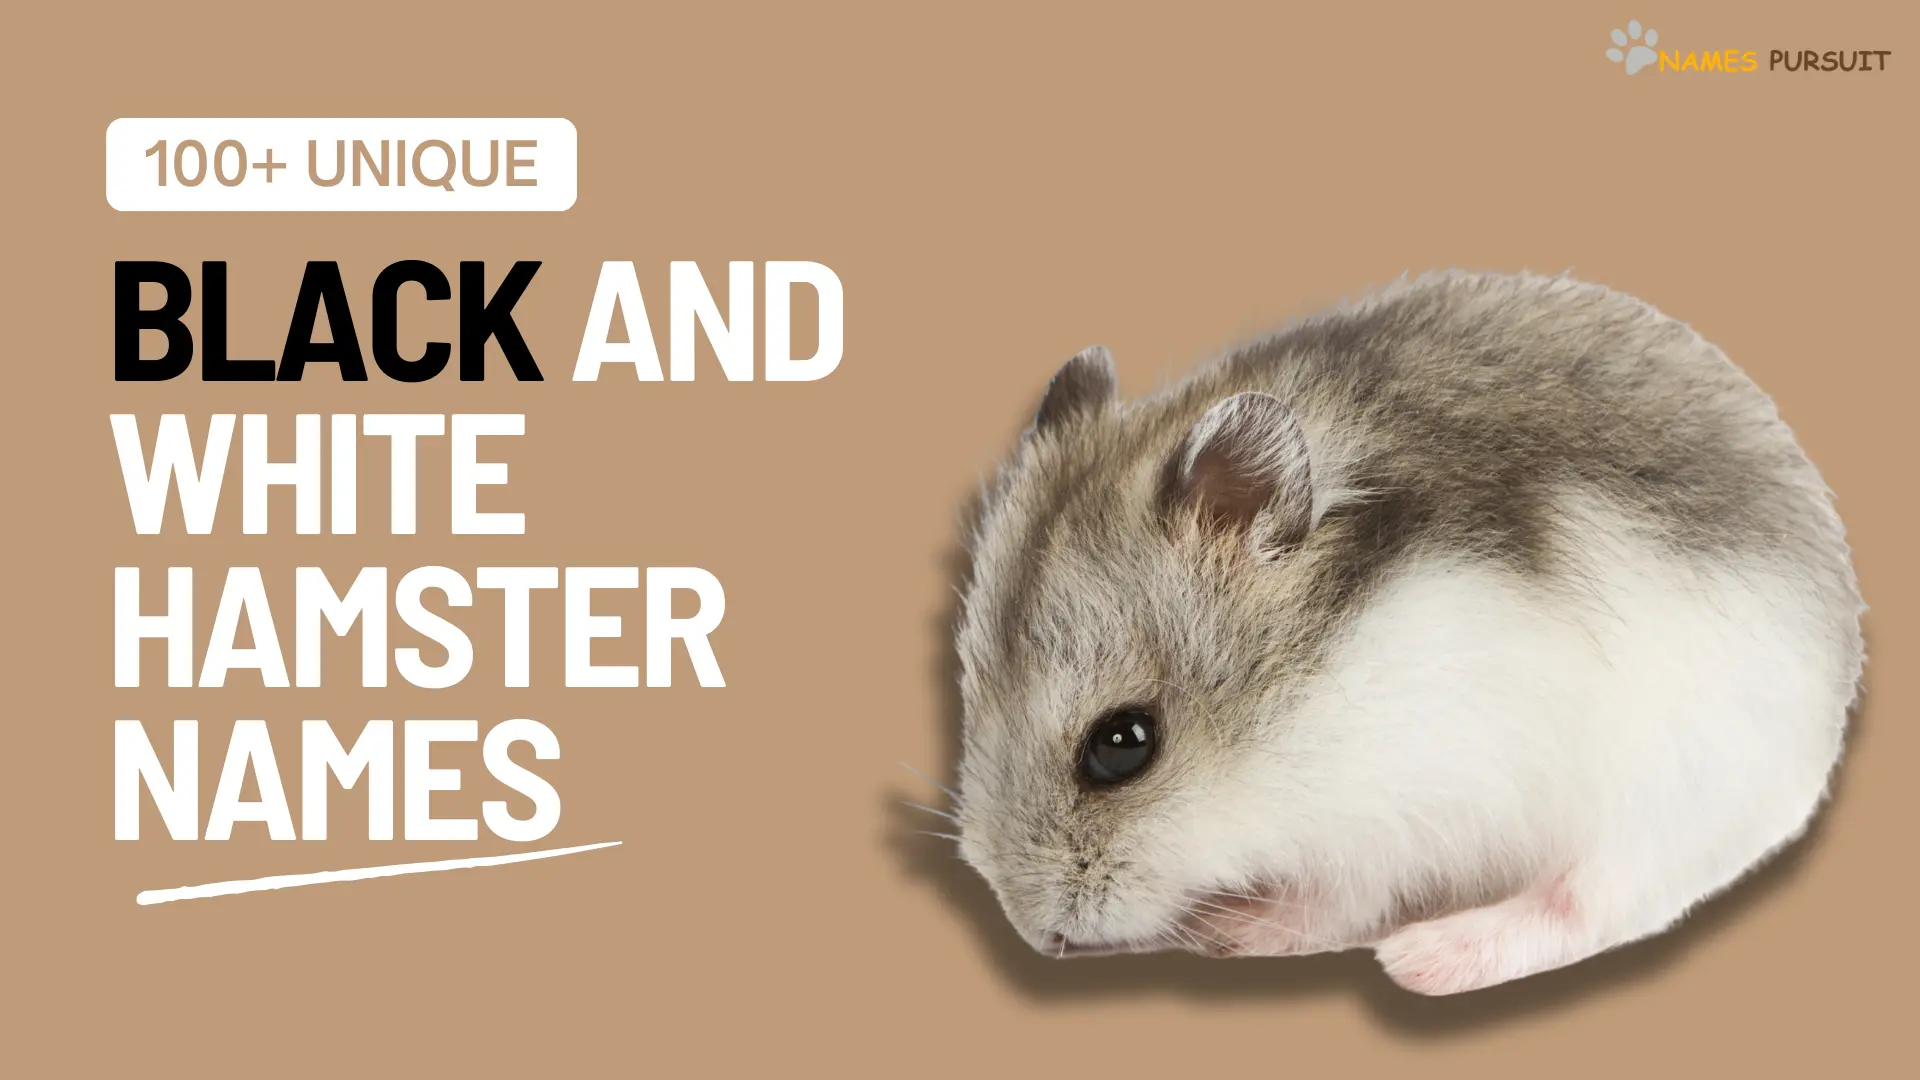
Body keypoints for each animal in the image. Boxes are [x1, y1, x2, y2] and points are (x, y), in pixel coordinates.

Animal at [949, 271, 1864, 995]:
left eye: (1124, 745)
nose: (1040, 937)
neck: (1317, 693)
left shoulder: (1394, 825)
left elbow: (1332, 901)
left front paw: (1234, 929)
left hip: (1660, 793)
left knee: (1591, 903)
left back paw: (1427, 960)